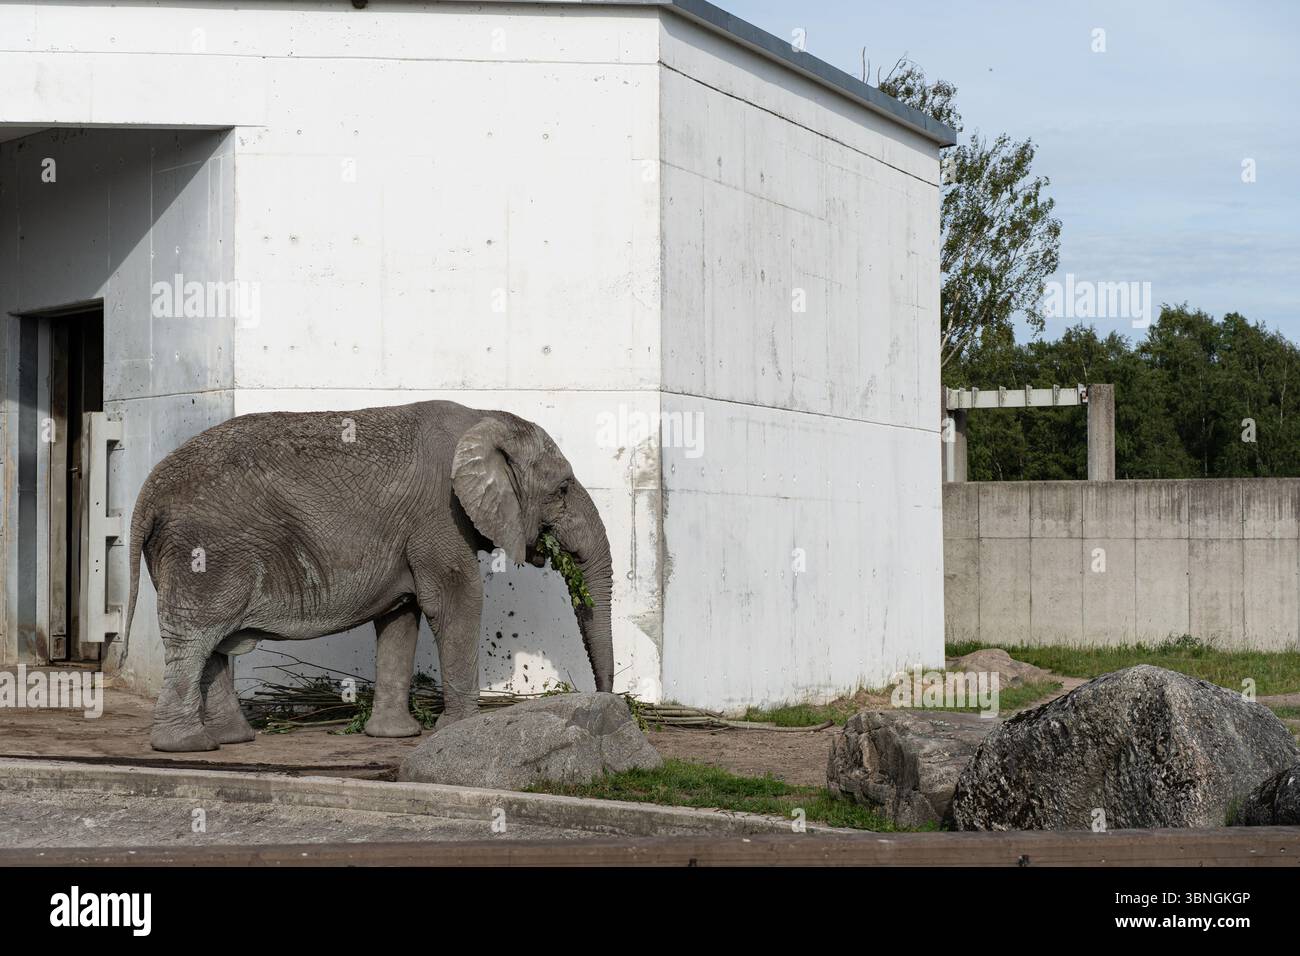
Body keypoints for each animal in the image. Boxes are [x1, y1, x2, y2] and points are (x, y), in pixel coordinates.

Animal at [123, 400, 614, 753]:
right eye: (562, 489)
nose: (610, 699)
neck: (483, 418)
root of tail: (146, 493)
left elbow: (402, 616)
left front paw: (395, 737)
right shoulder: (439, 516)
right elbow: (456, 601)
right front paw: (459, 729)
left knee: (214, 643)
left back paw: (231, 741)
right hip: (204, 551)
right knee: (197, 636)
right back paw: (187, 747)